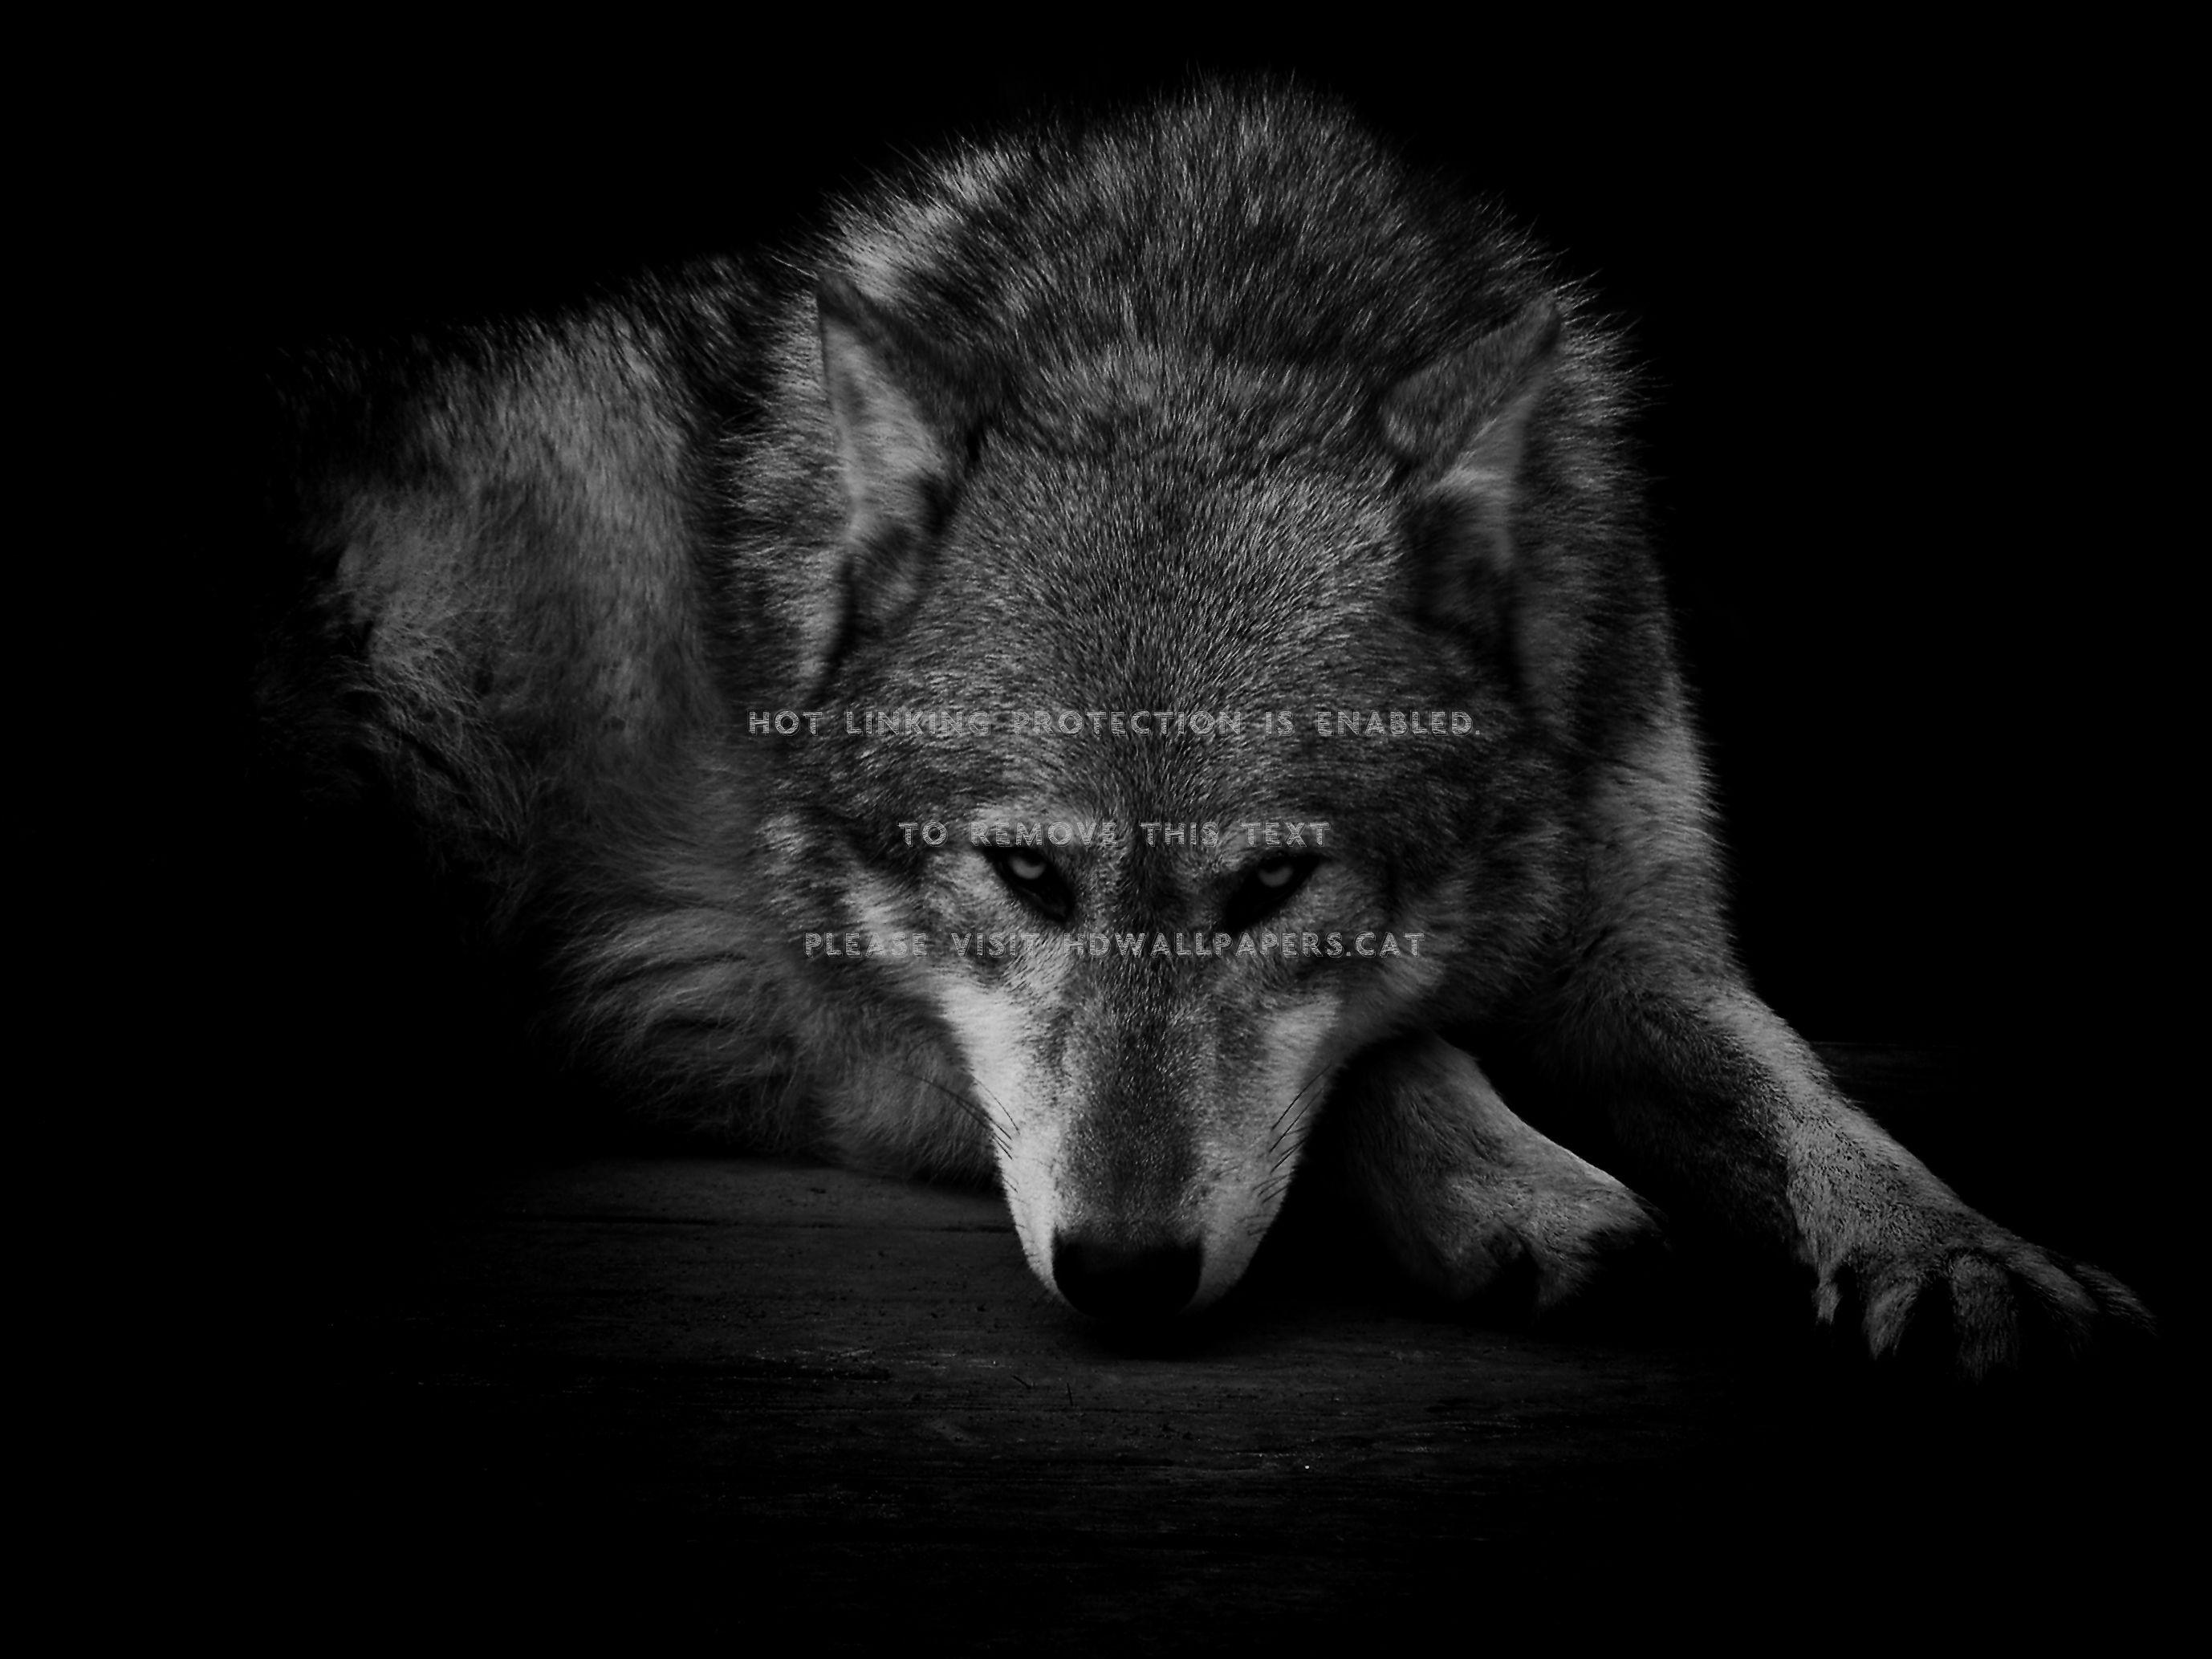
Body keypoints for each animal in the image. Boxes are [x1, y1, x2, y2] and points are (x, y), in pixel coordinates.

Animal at [260, 83, 2146, 1377]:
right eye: (1025, 875)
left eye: (1272, 888)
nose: (1119, 1272)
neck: (1201, 320)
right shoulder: (769, 1001)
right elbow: (1393, 1056)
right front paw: (1522, 1187)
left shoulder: (1637, 948)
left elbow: (1807, 1093)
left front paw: (1959, 1249)